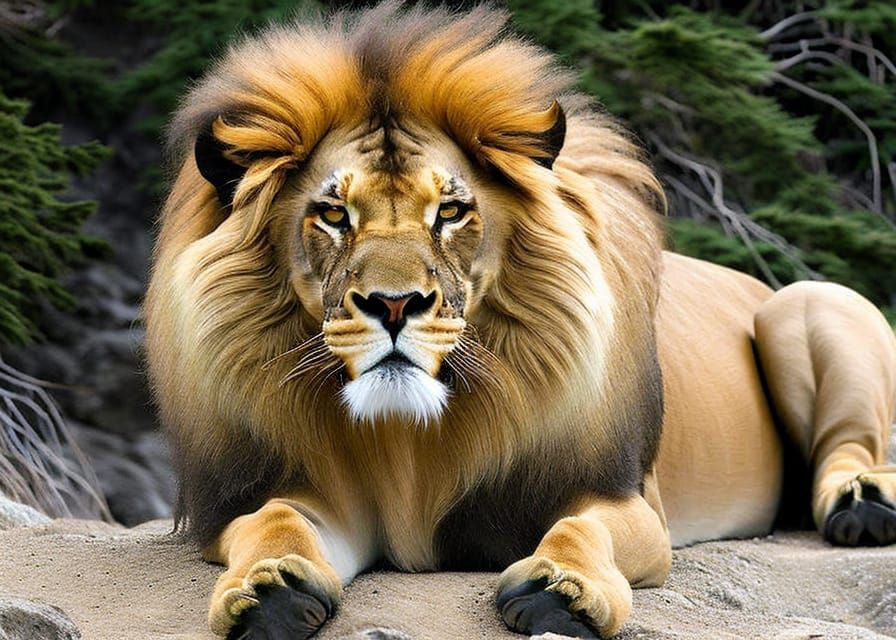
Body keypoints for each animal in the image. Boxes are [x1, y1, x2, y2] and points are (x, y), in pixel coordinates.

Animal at [144, 3, 896, 639]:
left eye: (450, 211)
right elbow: (272, 520)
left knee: (854, 442)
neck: (406, 442)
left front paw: (561, 590)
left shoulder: (627, 501)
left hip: (811, 301)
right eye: (333, 214)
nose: (394, 305)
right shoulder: (287, 496)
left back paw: (862, 505)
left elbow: (582, 530)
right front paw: (270, 587)